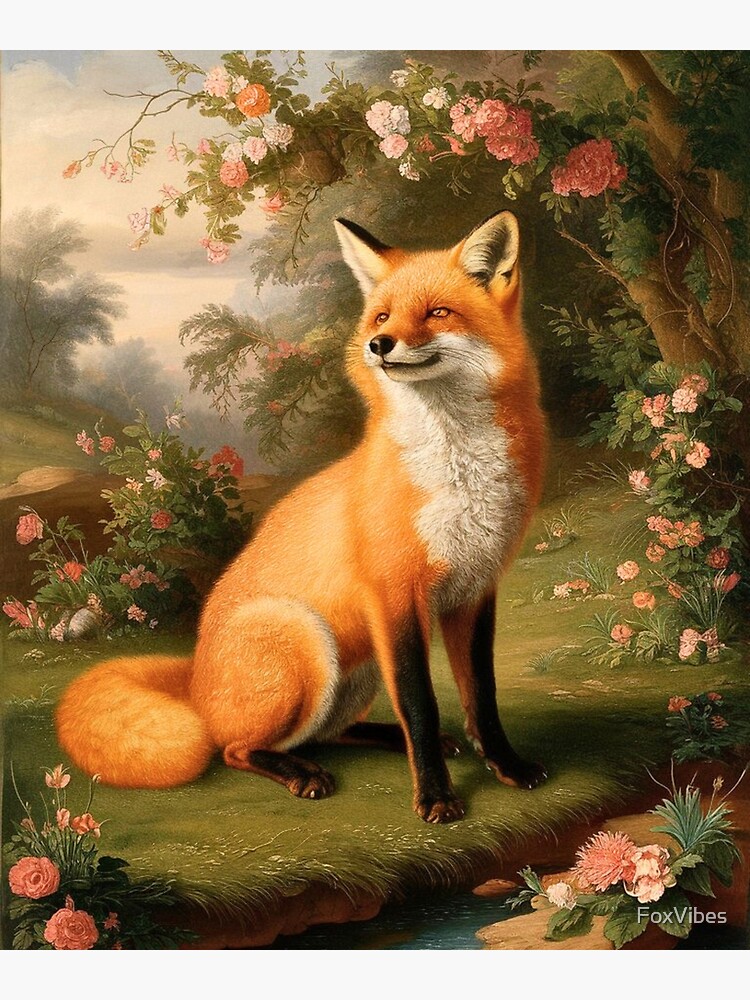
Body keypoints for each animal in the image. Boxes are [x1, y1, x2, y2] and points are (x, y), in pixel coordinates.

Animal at [56, 209, 547, 824]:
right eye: (382, 315)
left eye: (437, 312)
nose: (378, 344)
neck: (459, 476)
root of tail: (194, 678)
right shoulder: (394, 596)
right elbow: (421, 704)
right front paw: (435, 796)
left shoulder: (474, 592)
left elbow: (481, 695)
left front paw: (506, 766)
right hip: (304, 639)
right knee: (236, 747)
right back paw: (299, 773)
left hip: (356, 670)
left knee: (329, 733)